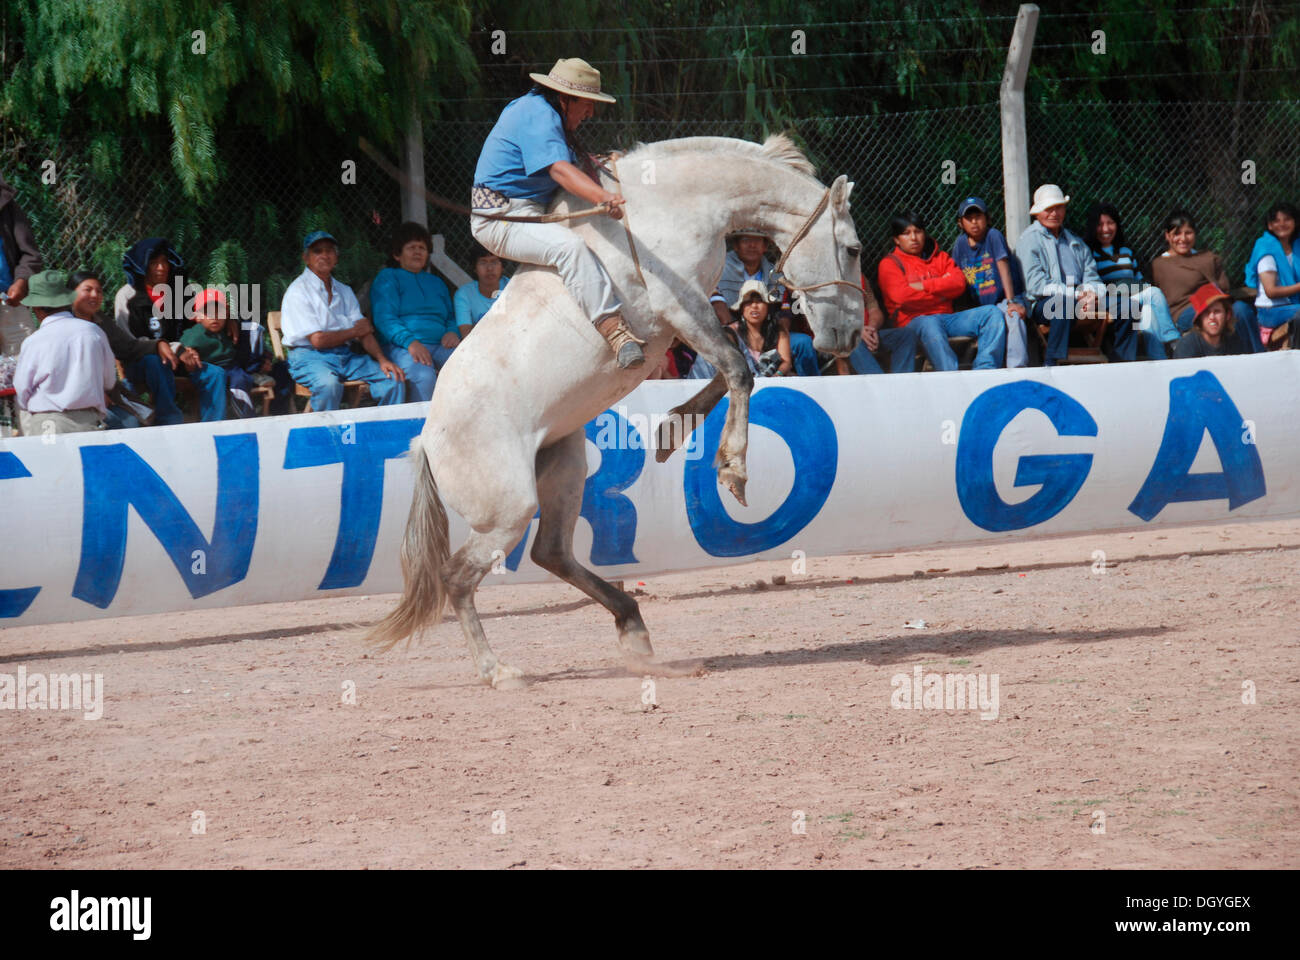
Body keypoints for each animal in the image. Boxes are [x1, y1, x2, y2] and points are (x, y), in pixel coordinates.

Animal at [366, 134, 864, 688]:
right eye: (853, 249)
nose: (846, 336)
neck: (669, 206)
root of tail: (427, 441)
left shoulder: (688, 319)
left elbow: (731, 366)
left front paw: (673, 430)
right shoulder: (679, 309)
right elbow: (739, 369)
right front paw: (732, 468)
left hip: (564, 470)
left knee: (551, 552)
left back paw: (634, 628)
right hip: (508, 509)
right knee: (457, 577)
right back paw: (499, 671)